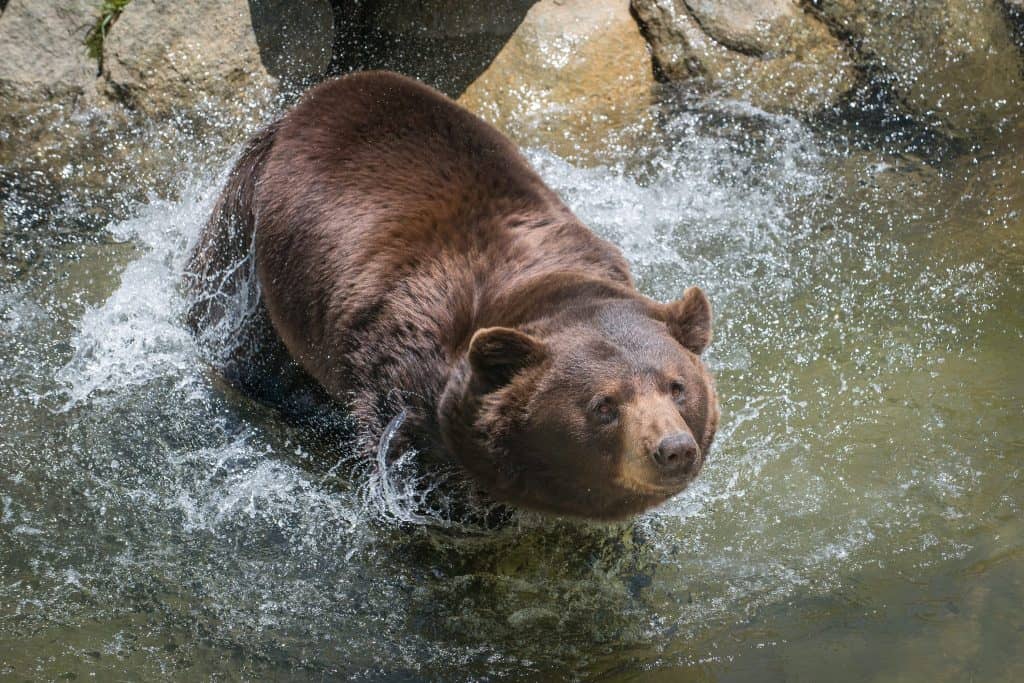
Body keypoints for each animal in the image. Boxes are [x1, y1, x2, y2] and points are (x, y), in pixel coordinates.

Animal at [184, 71, 719, 521]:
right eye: (604, 405)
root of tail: (309, 100)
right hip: (250, 244)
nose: (672, 448)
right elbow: (406, 450)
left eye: (677, 386)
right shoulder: (405, 357)